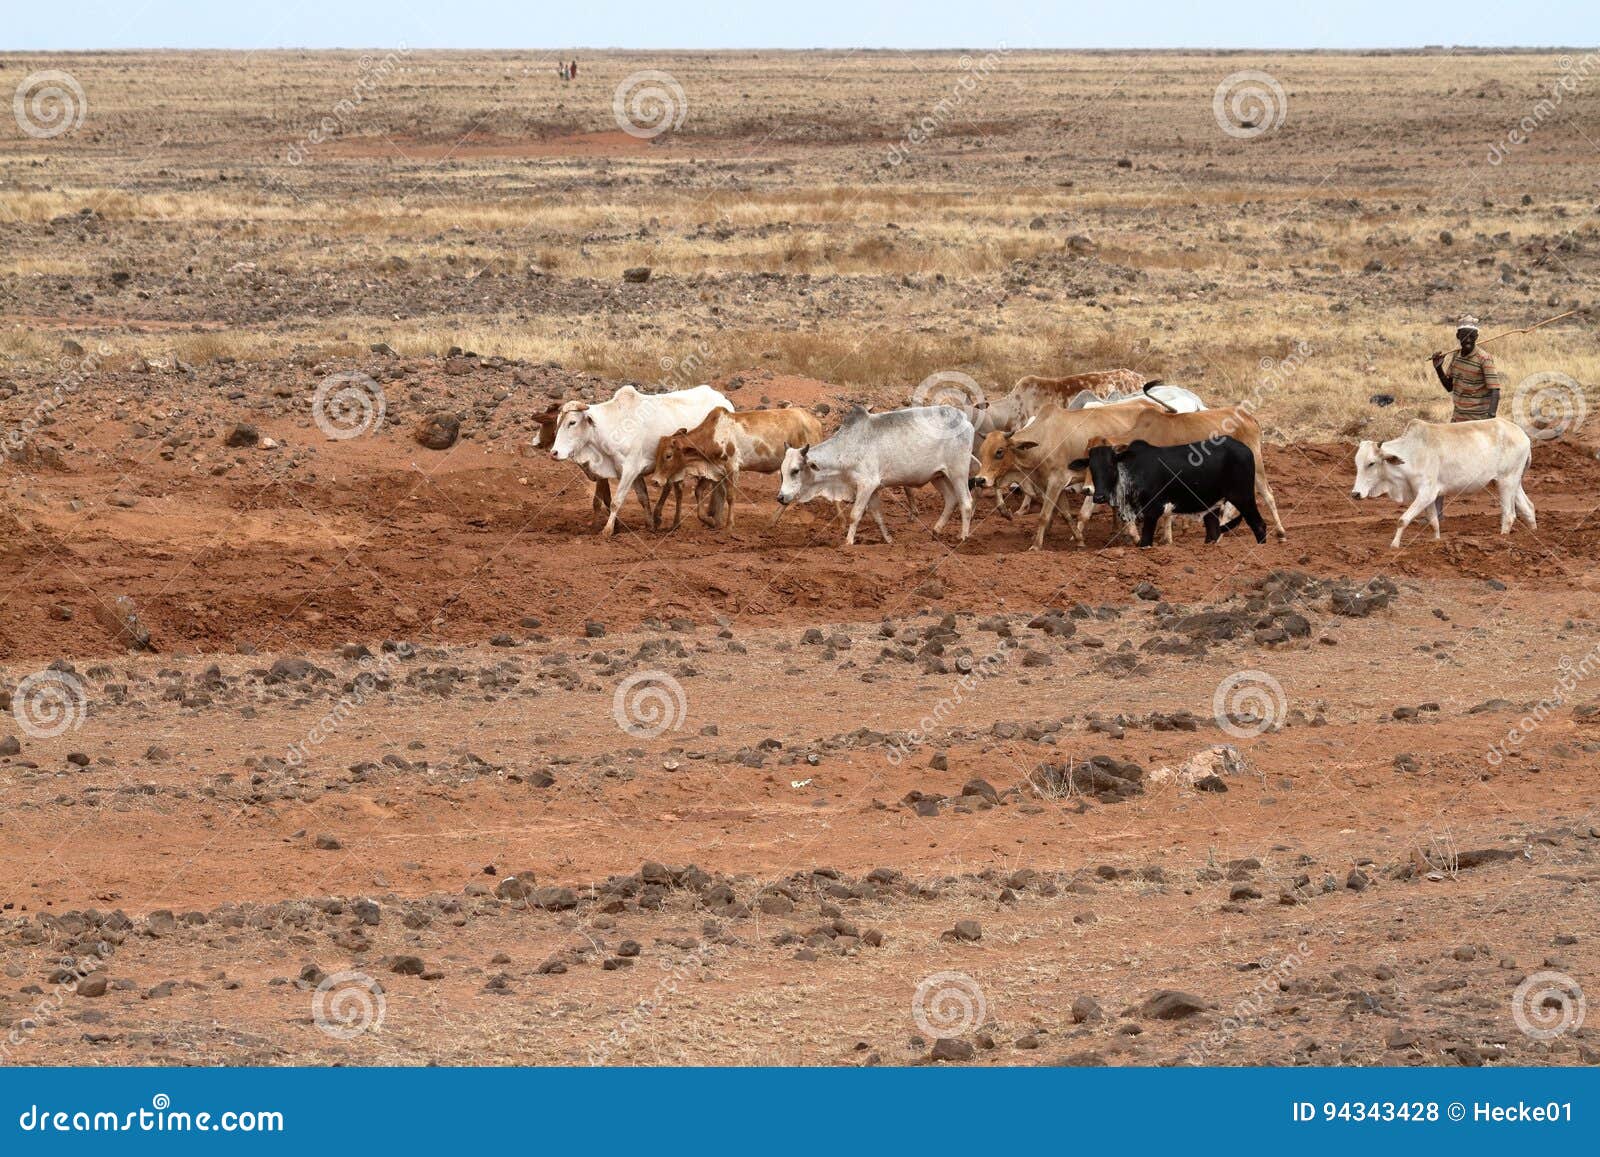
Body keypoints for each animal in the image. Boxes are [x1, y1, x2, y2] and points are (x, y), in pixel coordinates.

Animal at [549, 384, 732, 535]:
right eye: (557, 422)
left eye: (572, 422)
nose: (554, 453)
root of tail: (725, 402)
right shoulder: (634, 473)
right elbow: (642, 498)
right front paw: (649, 525)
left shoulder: (630, 469)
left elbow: (616, 501)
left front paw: (607, 531)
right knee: (678, 488)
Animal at [649, 406, 824, 530]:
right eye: (656, 453)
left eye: (668, 455)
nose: (655, 481)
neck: (713, 435)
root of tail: (815, 423)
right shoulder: (715, 470)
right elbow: (699, 492)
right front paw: (712, 522)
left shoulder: (732, 468)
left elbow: (730, 497)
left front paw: (729, 526)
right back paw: (771, 522)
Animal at [776, 405, 973, 546]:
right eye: (782, 473)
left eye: (795, 471)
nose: (780, 497)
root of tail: (964, 418)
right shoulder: (873, 489)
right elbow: (877, 516)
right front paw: (888, 540)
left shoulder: (866, 484)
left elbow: (855, 515)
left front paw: (848, 542)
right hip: (939, 476)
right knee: (951, 499)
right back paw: (936, 531)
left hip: (958, 473)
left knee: (966, 503)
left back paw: (963, 538)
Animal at [1069, 436, 1267, 548]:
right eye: (1091, 468)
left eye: (1111, 465)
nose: (1099, 496)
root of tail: (1245, 448)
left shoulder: (1153, 511)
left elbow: (1145, 542)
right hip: (1211, 505)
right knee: (1213, 532)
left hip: (1243, 496)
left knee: (1259, 525)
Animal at [1350, 417, 1534, 548]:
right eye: (1357, 463)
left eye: (1371, 463)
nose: (1355, 494)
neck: (1412, 453)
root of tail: (1523, 435)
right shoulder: (1427, 496)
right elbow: (1434, 522)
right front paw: (1436, 542)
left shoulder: (1426, 493)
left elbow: (1402, 520)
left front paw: (1394, 545)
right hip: (1512, 482)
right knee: (1529, 507)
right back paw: (1532, 534)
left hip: (1506, 481)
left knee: (1509, 515)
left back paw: (1502, 539)